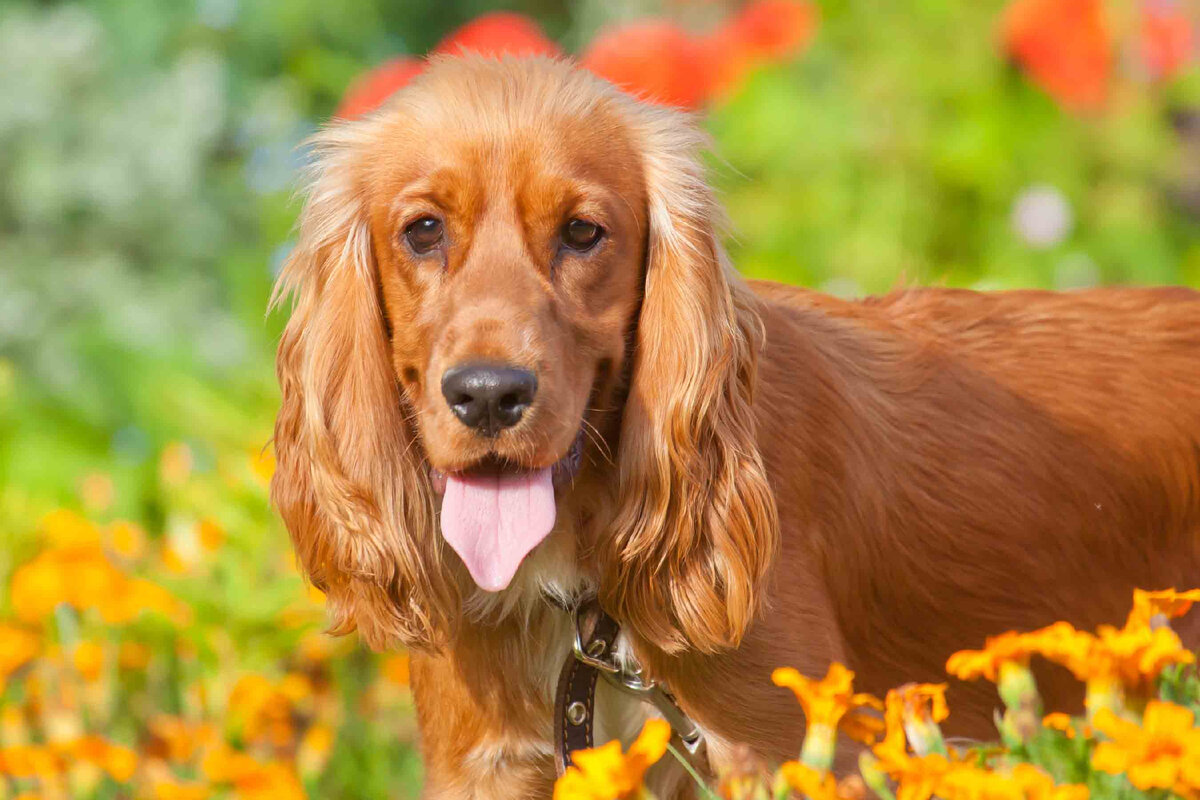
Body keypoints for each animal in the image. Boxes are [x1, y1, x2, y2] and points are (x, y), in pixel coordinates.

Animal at [272, 54, 1200, 796]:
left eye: (583, 232)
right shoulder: (489, 761)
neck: (581, 591)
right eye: (423, 231)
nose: (490, 395)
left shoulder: (784, 748)